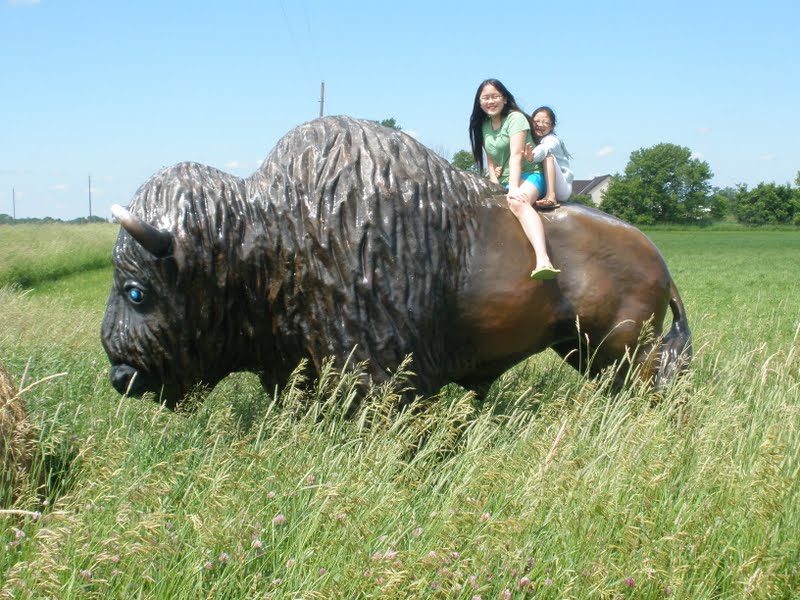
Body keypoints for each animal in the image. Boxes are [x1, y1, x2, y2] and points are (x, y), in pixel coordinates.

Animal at [101, 116, 691, 409]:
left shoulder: (380, 367)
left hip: (622, 346)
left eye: (136, 292)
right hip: (583, 349)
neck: (271, 230)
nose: (120, 375)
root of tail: (660, 260)